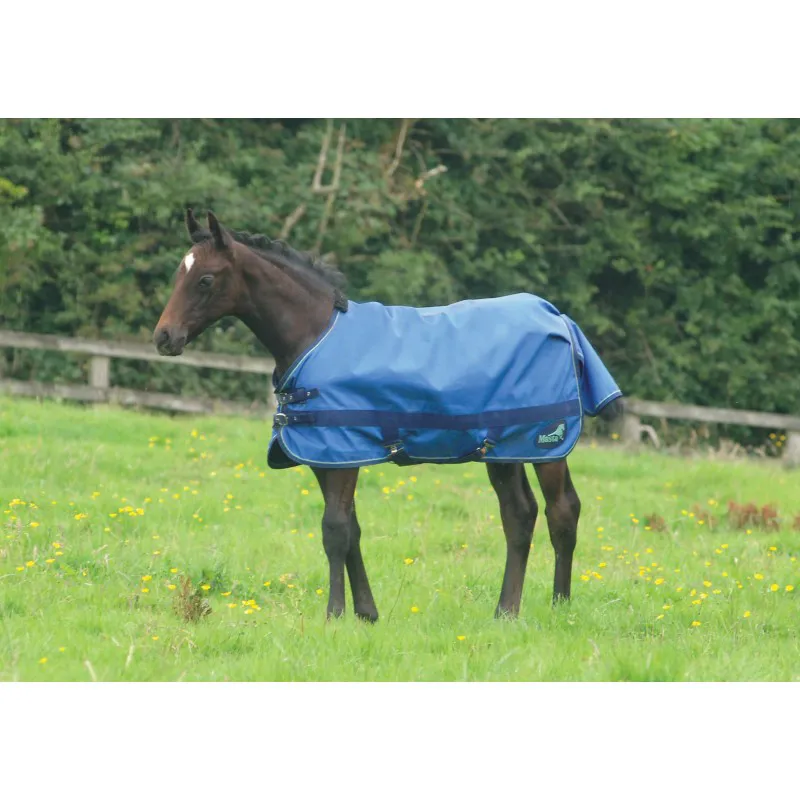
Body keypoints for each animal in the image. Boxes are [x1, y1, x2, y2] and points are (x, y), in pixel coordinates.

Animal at [154, 210, 623, 622]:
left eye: (205, 279)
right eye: (177, 274)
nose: (164, 337)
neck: (314, 335)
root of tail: (558, 318)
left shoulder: (343, 454)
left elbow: (335, 530)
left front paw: (334, 614)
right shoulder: (325, 457)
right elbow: (352, 530)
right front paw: (366, 613)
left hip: (545, 446)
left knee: (561, 511)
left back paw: (559, 607)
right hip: (503, 450)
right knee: (519, 515)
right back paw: (506, 612)